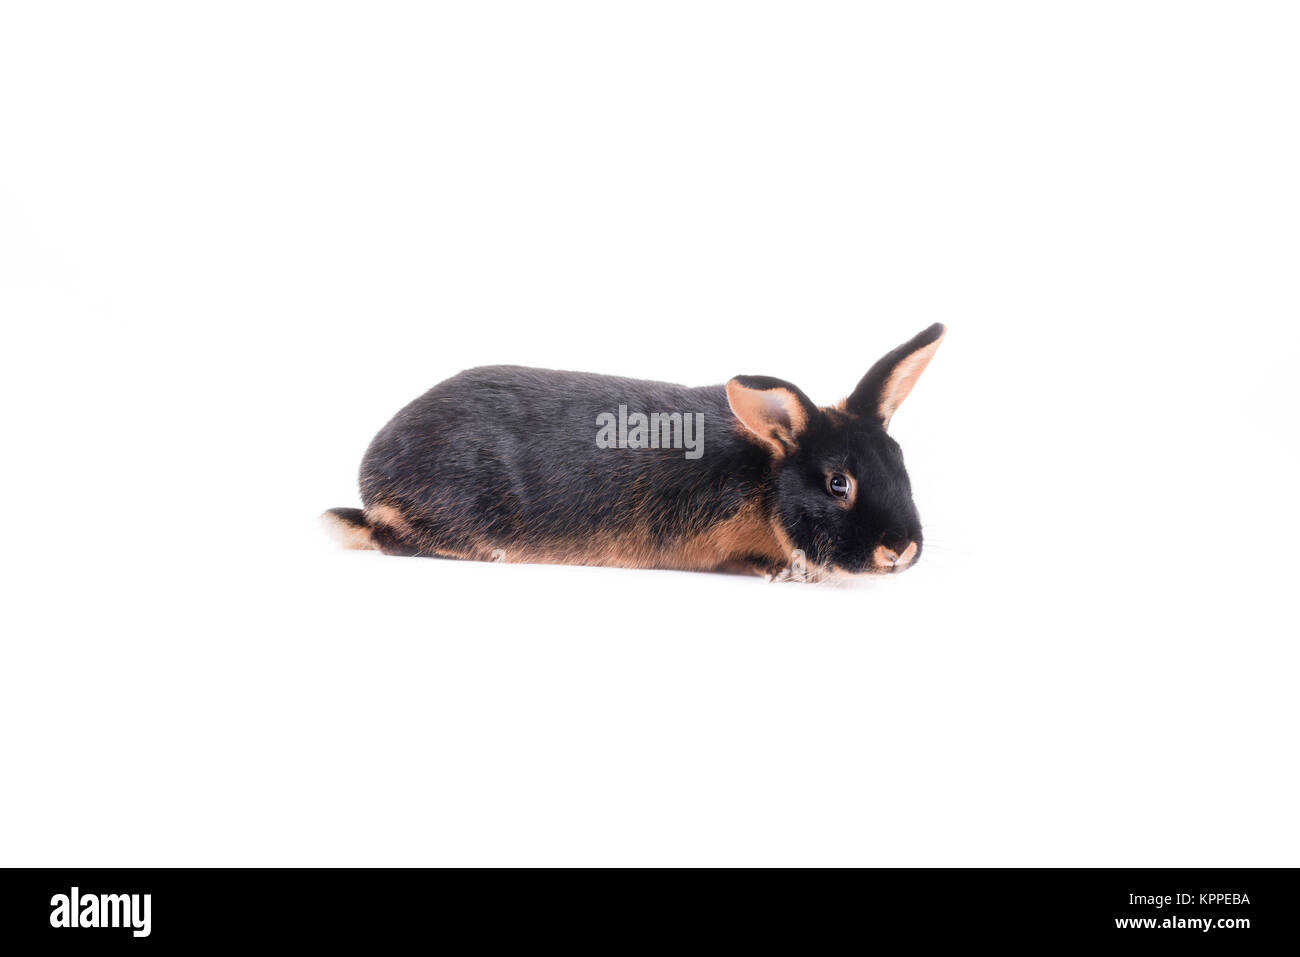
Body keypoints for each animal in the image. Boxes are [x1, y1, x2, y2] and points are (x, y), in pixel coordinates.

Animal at [323, 323, 945, 579]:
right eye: (838, 483)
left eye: (902, 466)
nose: (901, 551)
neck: (765, 480)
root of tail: (372, 475)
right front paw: (782, 572)